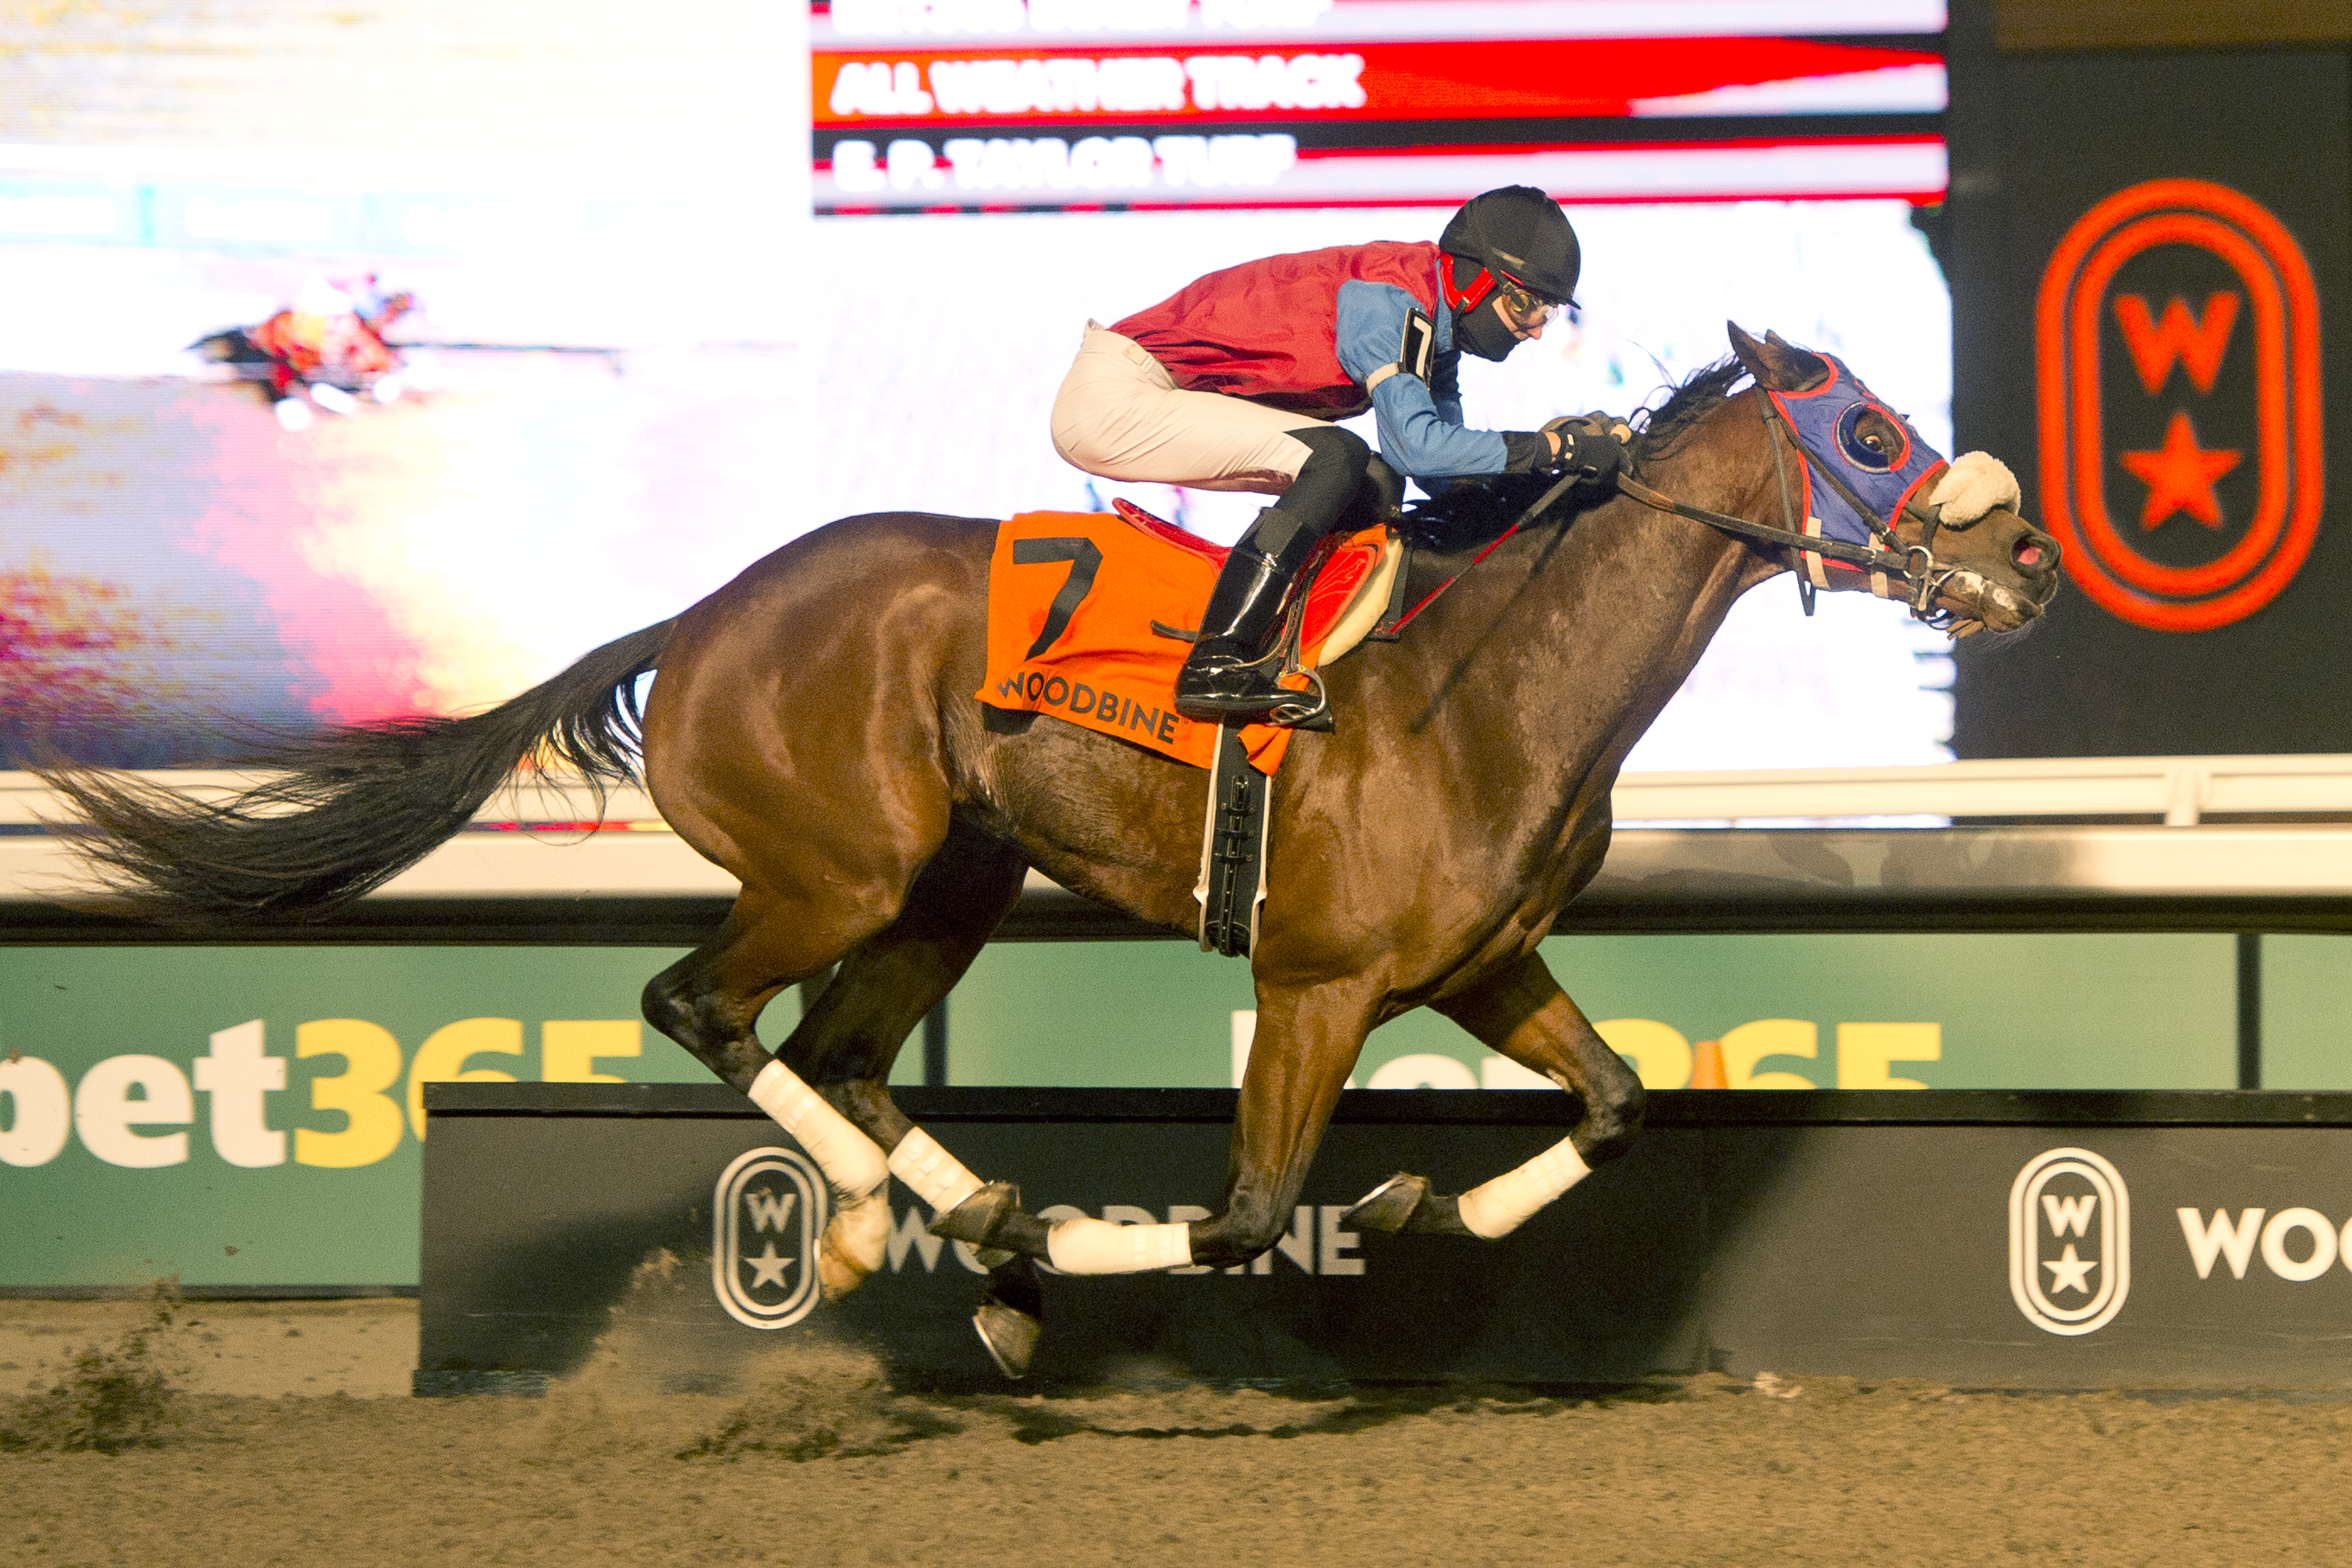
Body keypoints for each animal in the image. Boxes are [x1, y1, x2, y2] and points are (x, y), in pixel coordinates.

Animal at [45, 324, 2060, 1376]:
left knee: (843, 1055)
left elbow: (1621, 1103)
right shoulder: (1318, 981)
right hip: (838, 869)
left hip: (954, 880)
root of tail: (697, 618)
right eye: (1867, 426)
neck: (1487, 679)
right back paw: (966, 1229)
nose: (2028, 560)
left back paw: (931, 1223)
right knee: (704, 1008)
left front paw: (1418, 1206)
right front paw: (1165, 1230)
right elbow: (1241, 1213)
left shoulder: (1478, 960)